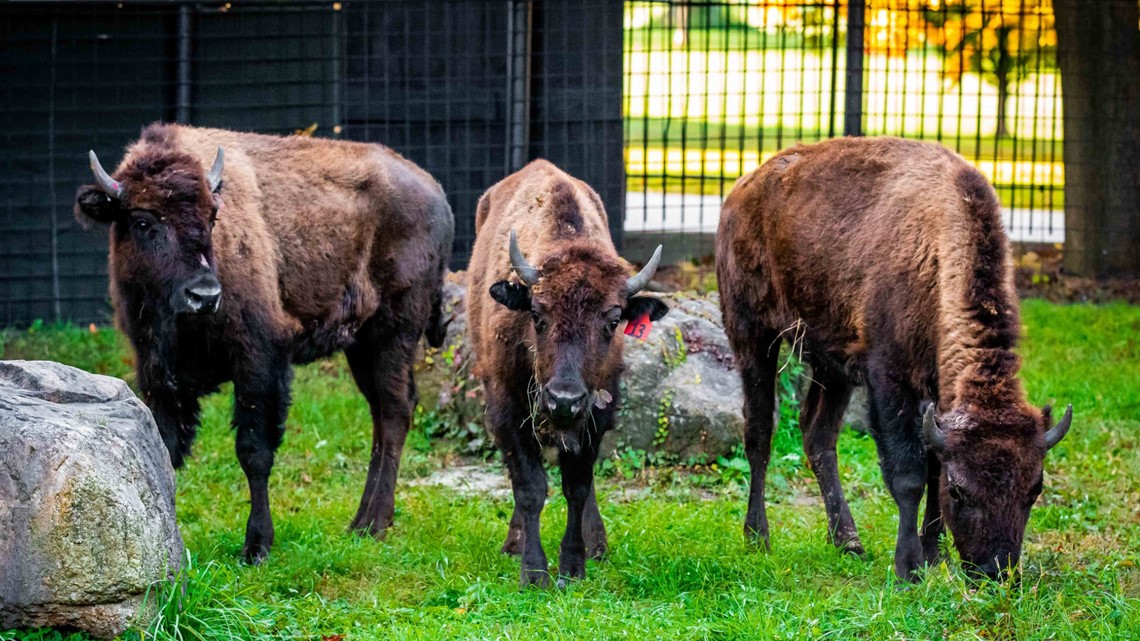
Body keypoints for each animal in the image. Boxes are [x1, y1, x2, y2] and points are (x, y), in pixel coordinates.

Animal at [76, 123, 453, 563]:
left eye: (212, 216)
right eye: (141, 221)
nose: (204, 295)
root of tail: (436, 193)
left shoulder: (259, 362)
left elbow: (253, 450)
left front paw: (256, 546)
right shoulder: (157, 373)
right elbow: (164, 449)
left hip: (394, 332)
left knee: (394, 411)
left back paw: (375, 524)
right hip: (361, 345)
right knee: (380, 411)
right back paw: (359, 524)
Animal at [467, 160, 668, 587]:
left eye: (613, 320)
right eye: (536, 314)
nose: (563, 399)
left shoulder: (598, 413)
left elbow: (576, 486)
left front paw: (574, 566)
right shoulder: (507, 410)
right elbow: (530, 488)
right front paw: (533, 572)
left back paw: (598, 545)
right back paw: (514, 543)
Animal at [716, 137, 1072, 580]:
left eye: (1035, 488)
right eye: (961, 490)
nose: (995, 571)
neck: (936, 253)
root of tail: (742, 188)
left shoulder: (934, 397)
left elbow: (932, 465)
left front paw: (933, 554)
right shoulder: (888, 380)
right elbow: (908, 475)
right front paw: (910, 567)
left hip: (832, 365)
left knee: (817, 434)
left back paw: (848, 542)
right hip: (752, 336)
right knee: (760, 432)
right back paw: (758, 538)